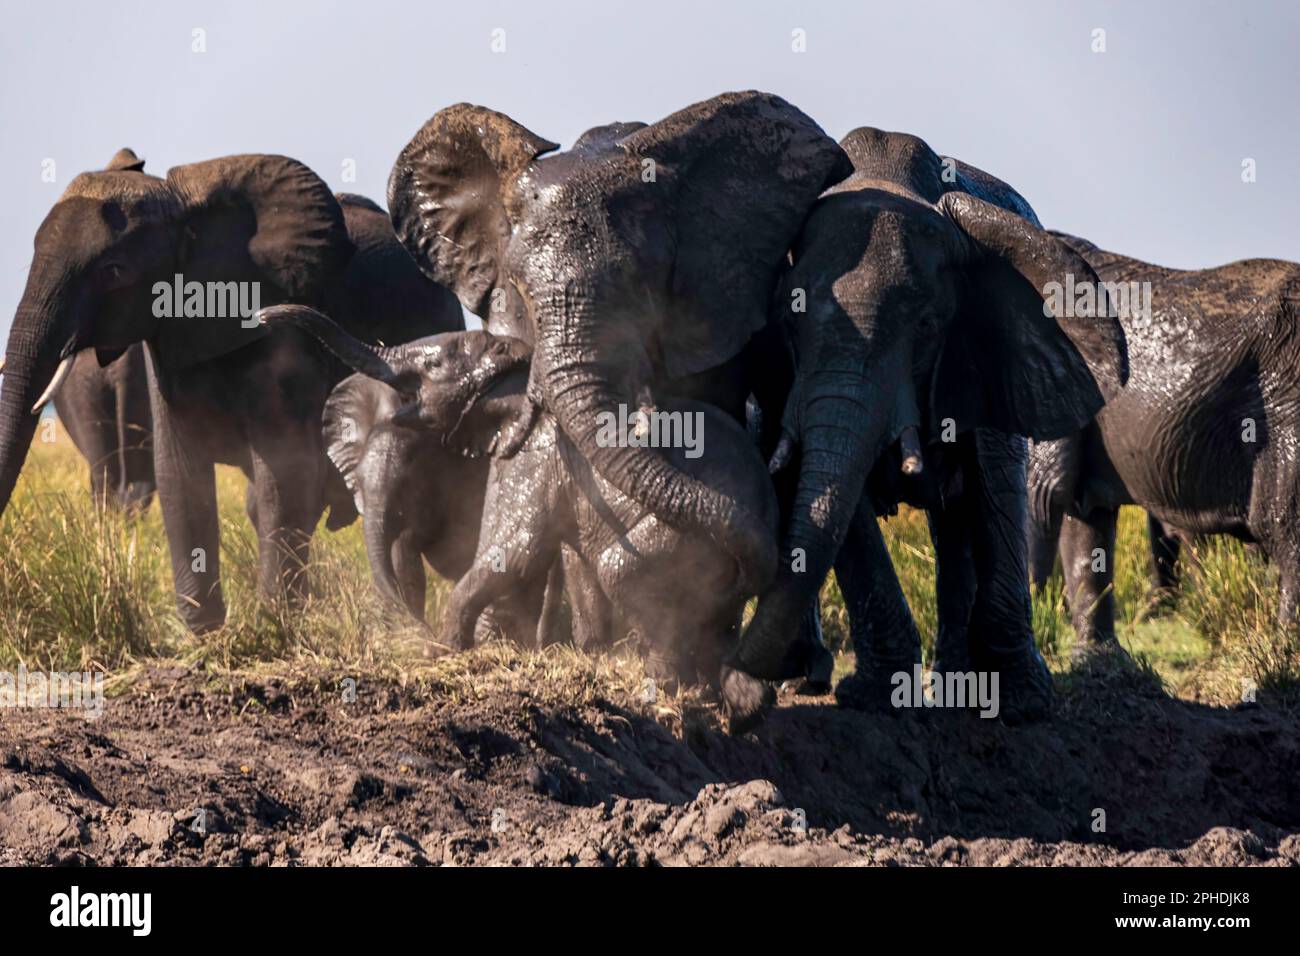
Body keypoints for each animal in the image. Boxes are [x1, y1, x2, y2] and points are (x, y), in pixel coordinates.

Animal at [0, 152, 463, 632]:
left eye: (114, 272)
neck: (184, 211)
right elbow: (180, 471)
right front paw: (206, 633)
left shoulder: (284, 342)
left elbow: (283, 471)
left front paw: (277, 623)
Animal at [262, 305, 778, 685]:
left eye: (433, 365)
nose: (261, 317)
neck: (527, 369)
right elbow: (570, 559)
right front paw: (594, 659)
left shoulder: (536, 451)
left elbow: (516, 550)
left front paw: (448, 651)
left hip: (675, 540)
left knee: (619, 568)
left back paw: (663, 684)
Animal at [724, 127, 1129, 729]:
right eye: (787, 321)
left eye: (928, 326)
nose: (740, 695)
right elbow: (842, 509)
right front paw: (874, 698)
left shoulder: (991, 348)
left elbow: (995, 489)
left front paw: (1022, 705)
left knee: (959, 520)